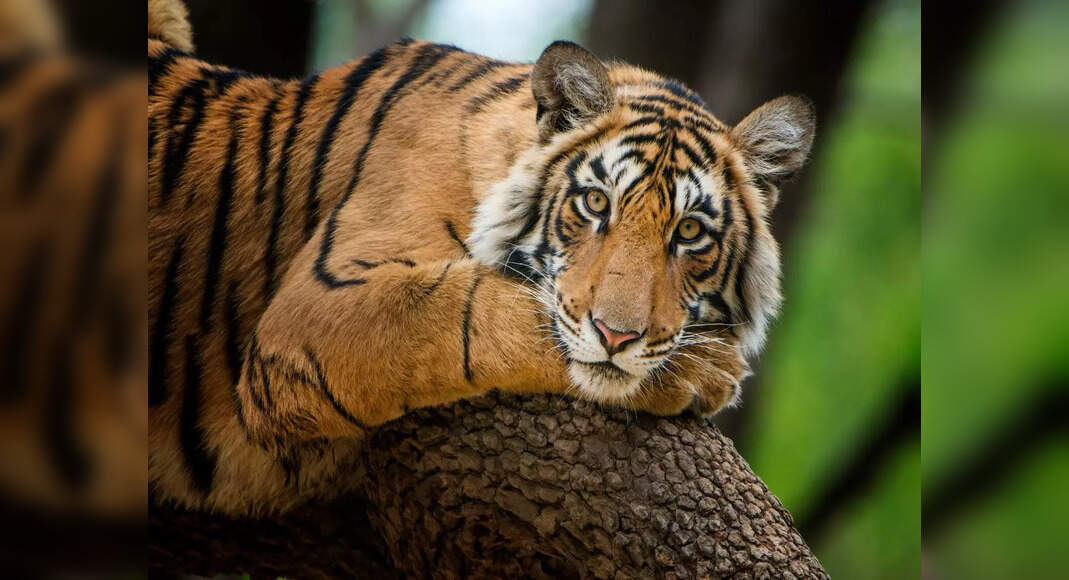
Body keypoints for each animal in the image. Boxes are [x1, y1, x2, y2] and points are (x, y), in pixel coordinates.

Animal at [148, 0, 815, 515]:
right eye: (596, 202)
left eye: (690, 232)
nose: (617, 336)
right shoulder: (313, 309)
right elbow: (476, 309)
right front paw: (704, 369)